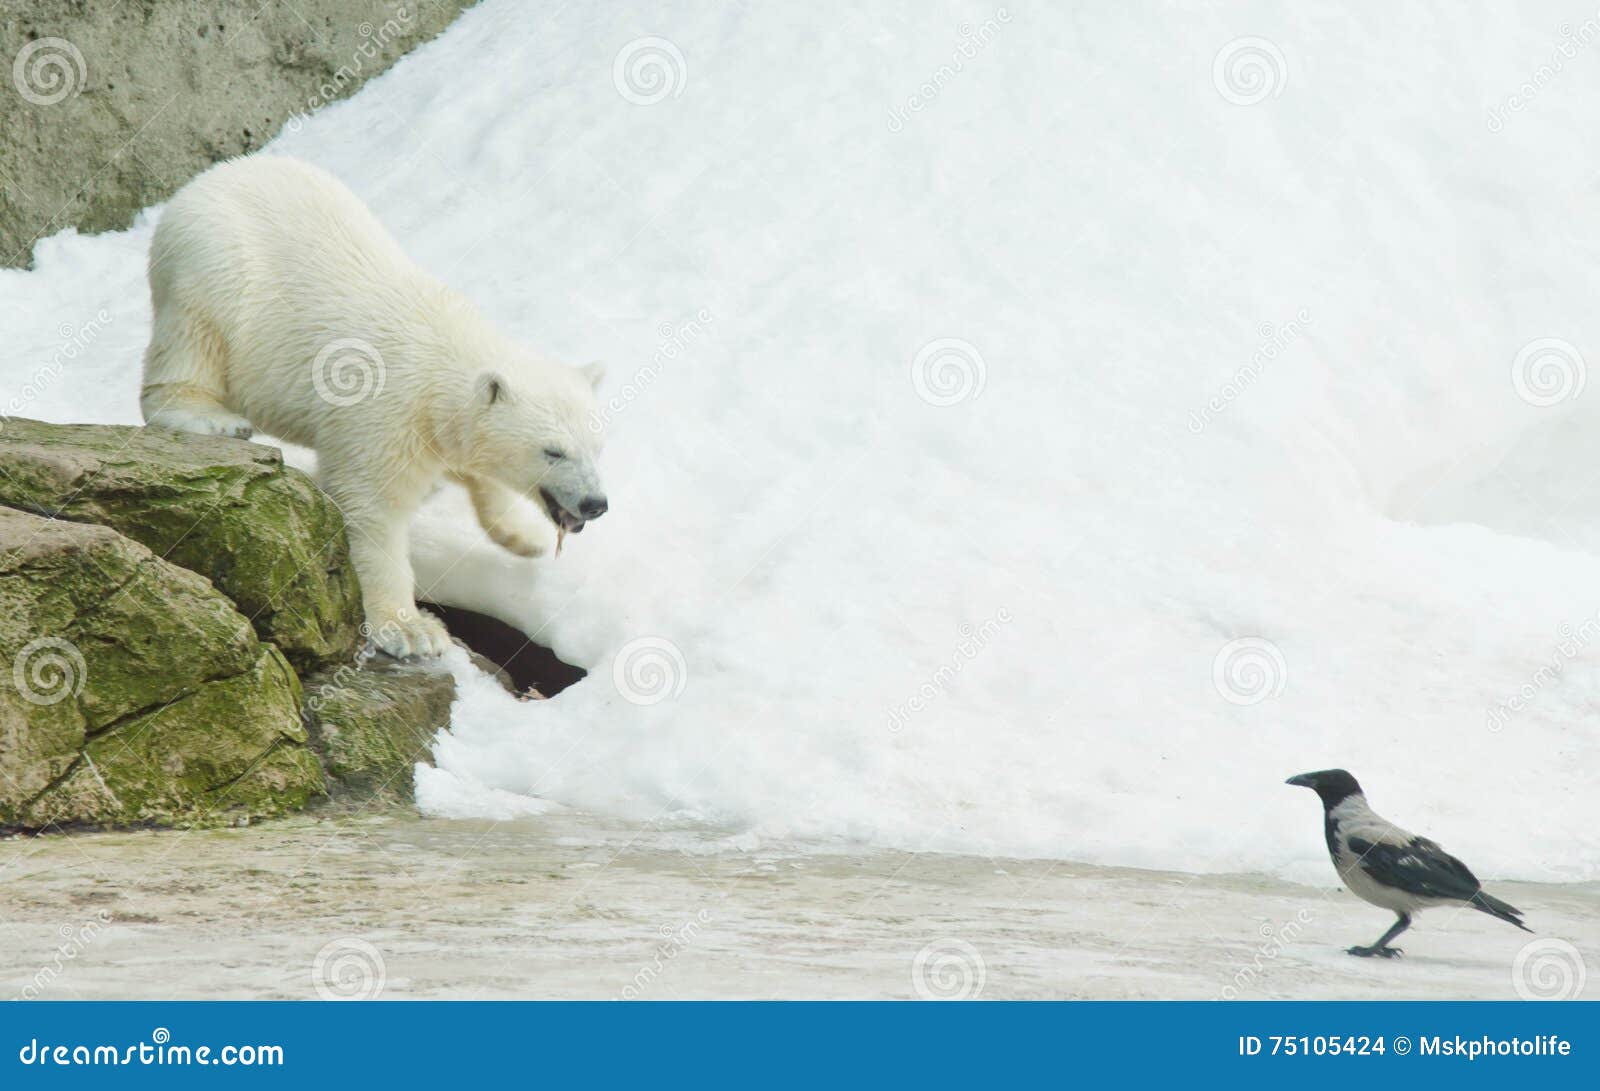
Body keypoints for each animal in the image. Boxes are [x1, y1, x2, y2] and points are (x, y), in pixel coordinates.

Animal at [139, 154, 608, 659]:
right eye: (553, 451)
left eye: (597, 447)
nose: (595, 503)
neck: (441, 359)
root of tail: (207, 179)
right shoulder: (386, 414)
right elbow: (374, 508)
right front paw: (412, 630)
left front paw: (524, 536)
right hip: (215, 260)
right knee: (195, 335)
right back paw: (208, 417)